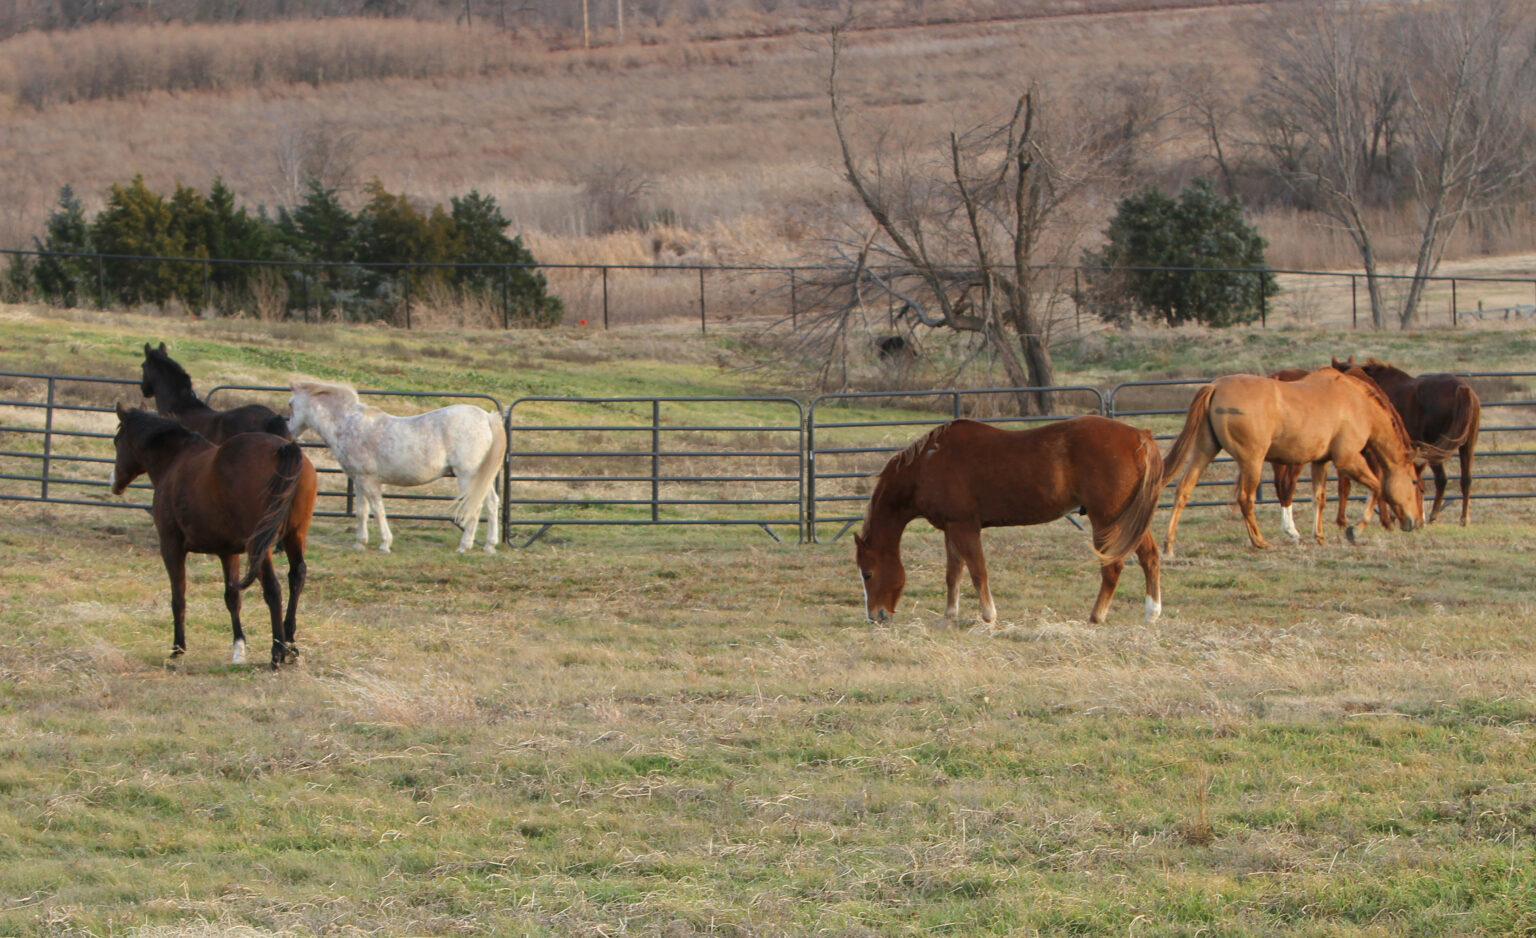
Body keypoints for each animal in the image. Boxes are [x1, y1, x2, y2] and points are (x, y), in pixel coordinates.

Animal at [110, 405, 317, 668]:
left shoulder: (171, 545)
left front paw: (178, 649)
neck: (176, 459)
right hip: (294, 535)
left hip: (260, 546)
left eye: (117, 441)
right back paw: (291, 646)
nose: (115, 483)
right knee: (296, 576)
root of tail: (284, 448)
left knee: (273, 588)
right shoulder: (228, 552)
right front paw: (239, 648)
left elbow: (179, 596)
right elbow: (232, 598)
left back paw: (277, 652)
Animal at [287, 379, 508, 554]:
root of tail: (486, 418)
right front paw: (360, 543)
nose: (288, 432)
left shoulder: (370, 480)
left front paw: (385, 543)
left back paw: (464, 546)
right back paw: (489, 546)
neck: (349, 425)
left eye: (290, 404)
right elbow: (361, 512)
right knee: (491, 503)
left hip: (468, 475)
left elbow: (378, 509)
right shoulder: (358, 480)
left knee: (476, 506)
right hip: (481, 476)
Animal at [854, 416, 1164, 626]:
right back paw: (1152, 614)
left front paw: (988, 616)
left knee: (1112, 567)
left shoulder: (965, 527)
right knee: (1149, 556)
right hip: (1129, 520)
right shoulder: (951, 528)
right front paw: (949, 616)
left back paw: (1096, 616)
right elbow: (953, 573)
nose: (875, 617)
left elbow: (978, 571)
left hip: (1107, 520)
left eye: (867, 574)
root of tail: (1139, 436)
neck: (928, 464)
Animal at [1162, 367, 1424, 557]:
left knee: (1183, 491)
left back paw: (1169, 545)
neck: (1357, 403)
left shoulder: (1321, 462)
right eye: (1414, 482)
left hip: (1204, 452)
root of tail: (1216, 385)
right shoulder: (1347, 459)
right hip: (1252, 461)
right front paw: (1354, 530)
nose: (1414, 522)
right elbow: (1377, 486)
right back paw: (1260, 542)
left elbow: (1319, 499)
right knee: (1245, 499)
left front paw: (1319, 536)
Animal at [1331, 355, 1481, 526]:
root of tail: (1462, 388)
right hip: (1467, 446)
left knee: (1442, 479)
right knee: (1466, 479)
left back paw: (1434, 515)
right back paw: (1463, 518)